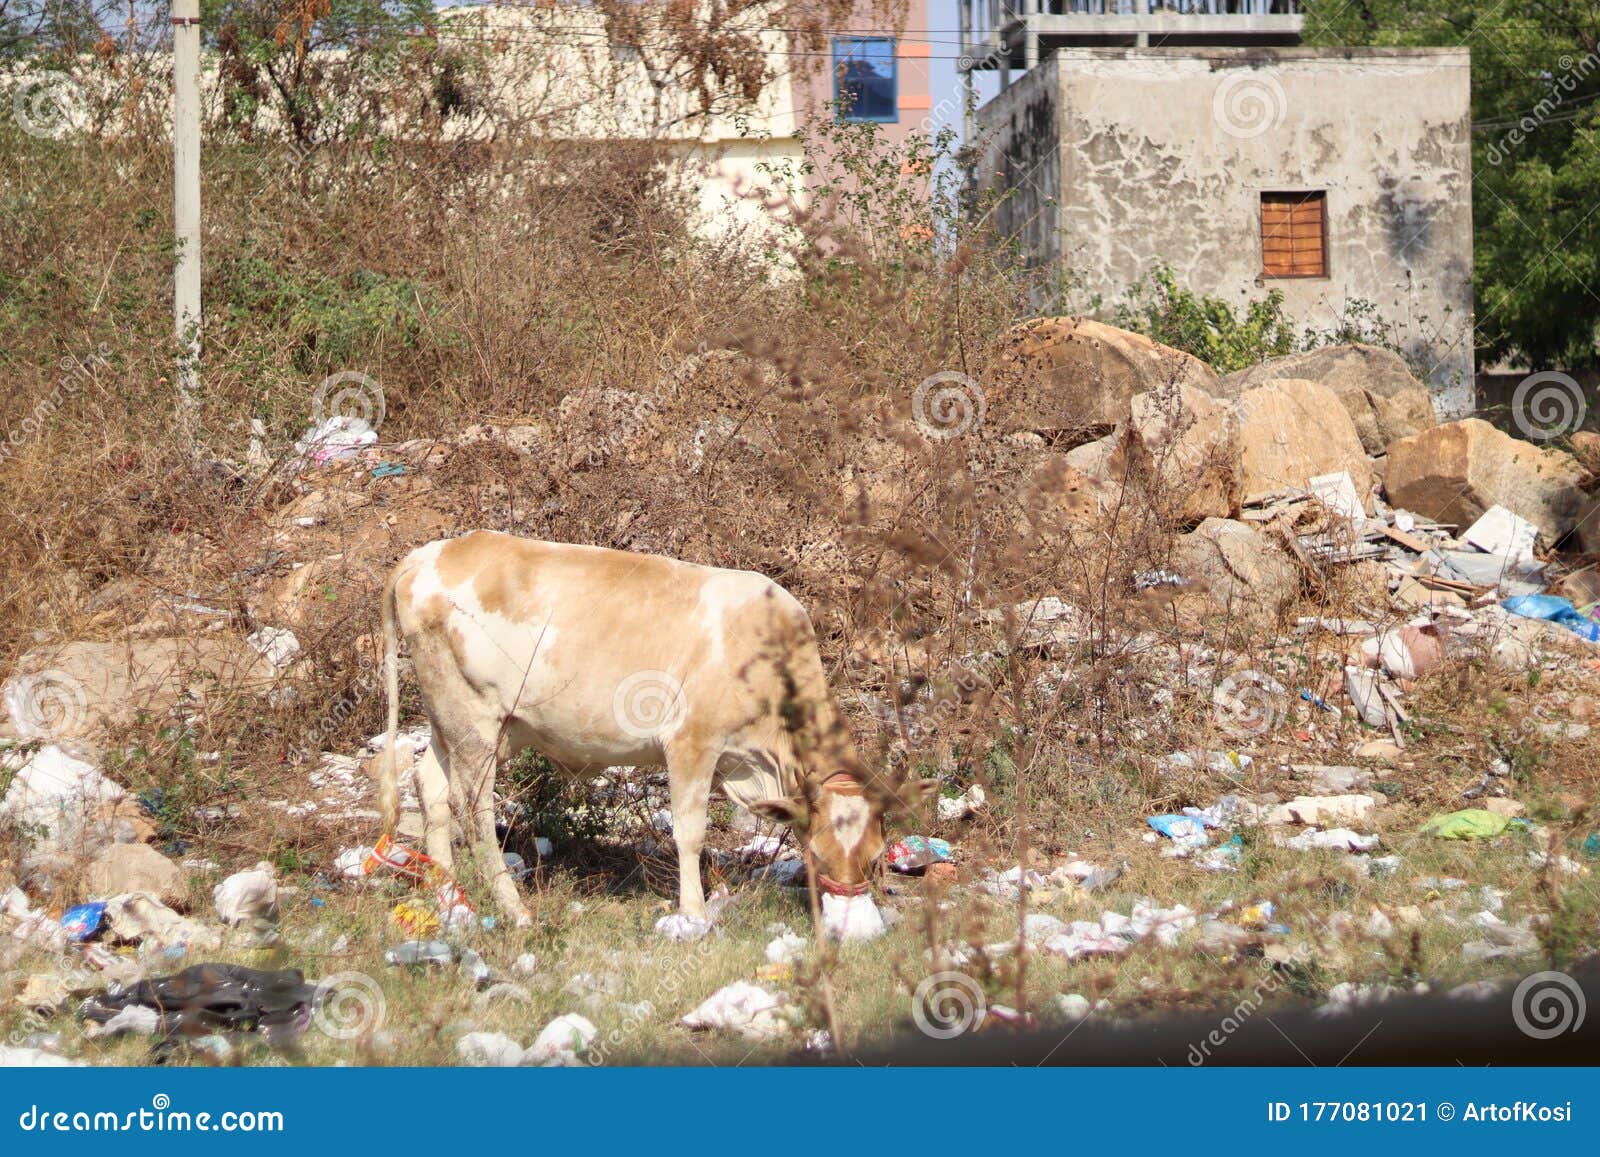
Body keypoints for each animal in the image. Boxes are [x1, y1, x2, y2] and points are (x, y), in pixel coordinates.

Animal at [374, 531, 919, 926]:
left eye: (875, 860)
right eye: (819, 858)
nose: (850, 921)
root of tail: (432, 551)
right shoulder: (691, 742)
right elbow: (690, 833)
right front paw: (694, 914)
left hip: (451, 719)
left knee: (430, 788)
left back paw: (448, 896)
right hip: (475, 720)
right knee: (474, 810)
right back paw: (514, 909)